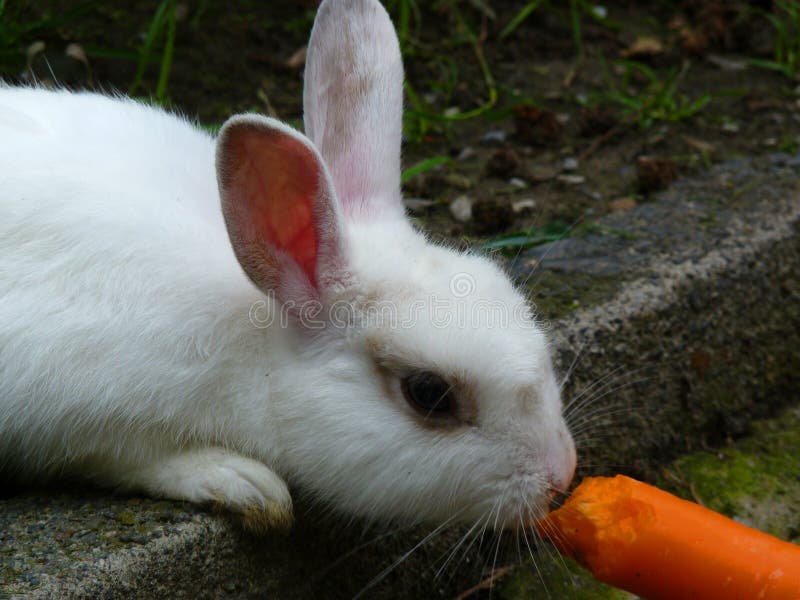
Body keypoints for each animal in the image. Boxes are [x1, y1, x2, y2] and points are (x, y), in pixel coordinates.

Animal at [0, 0, 575, 533]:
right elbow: (124, 457)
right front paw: (242, 483)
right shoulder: (73, 405)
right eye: (429, 394)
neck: (255, 335)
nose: (562, 475)